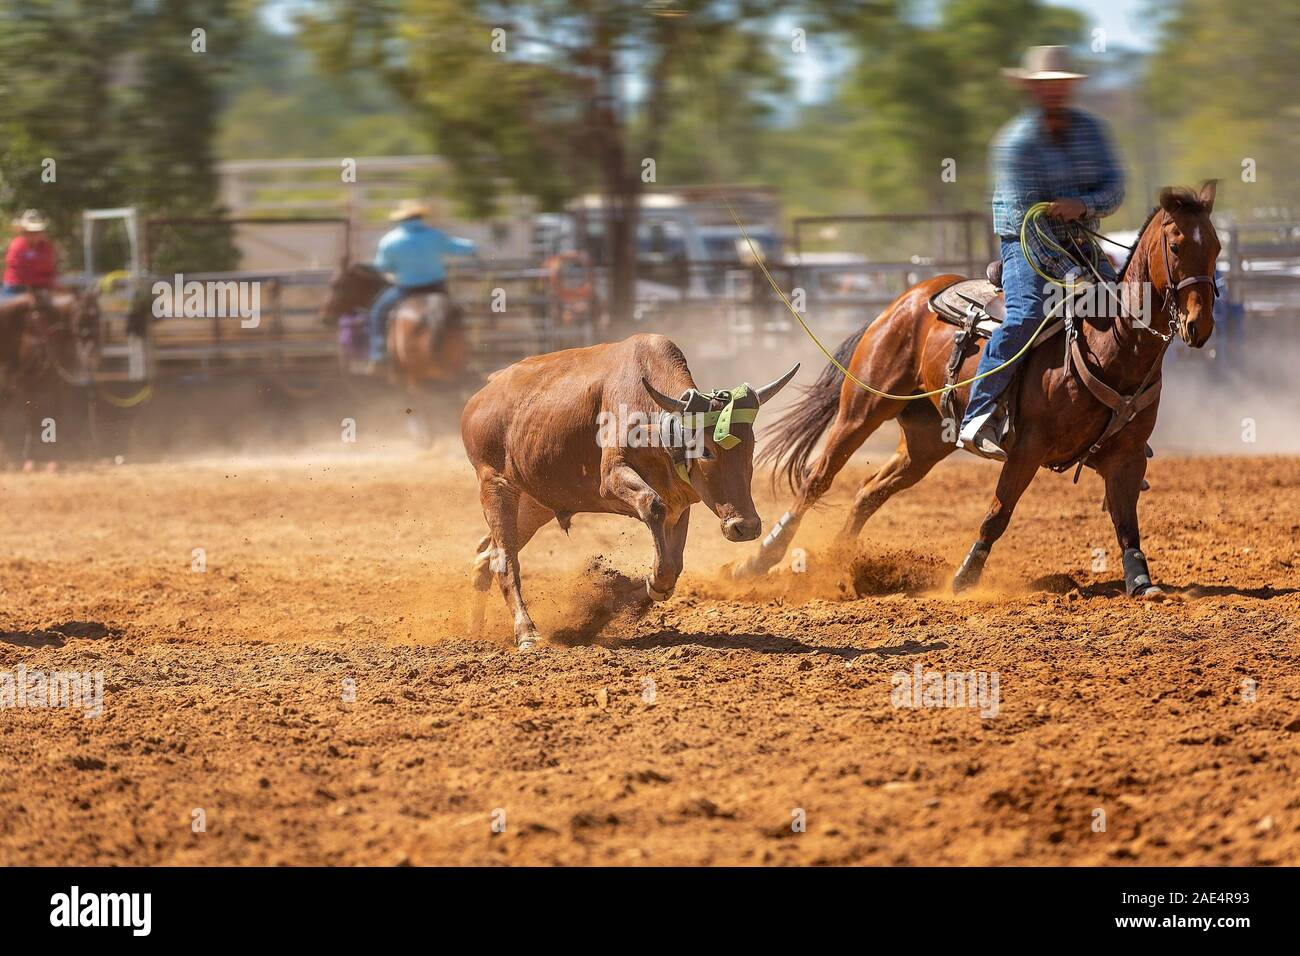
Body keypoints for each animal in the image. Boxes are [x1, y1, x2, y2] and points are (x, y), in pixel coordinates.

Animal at [461, 333, 798, 650]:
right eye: (705, 451)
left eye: (751, 447)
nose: (746, 527)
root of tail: (482, 395)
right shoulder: (613, 478)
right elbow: (652, 507)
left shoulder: (680, 503)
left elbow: (671, 568)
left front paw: (617, 600)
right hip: (496, 487)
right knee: (503, 560)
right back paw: (526, 632)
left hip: (534, 503)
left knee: (485, 555)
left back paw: (476, 629)